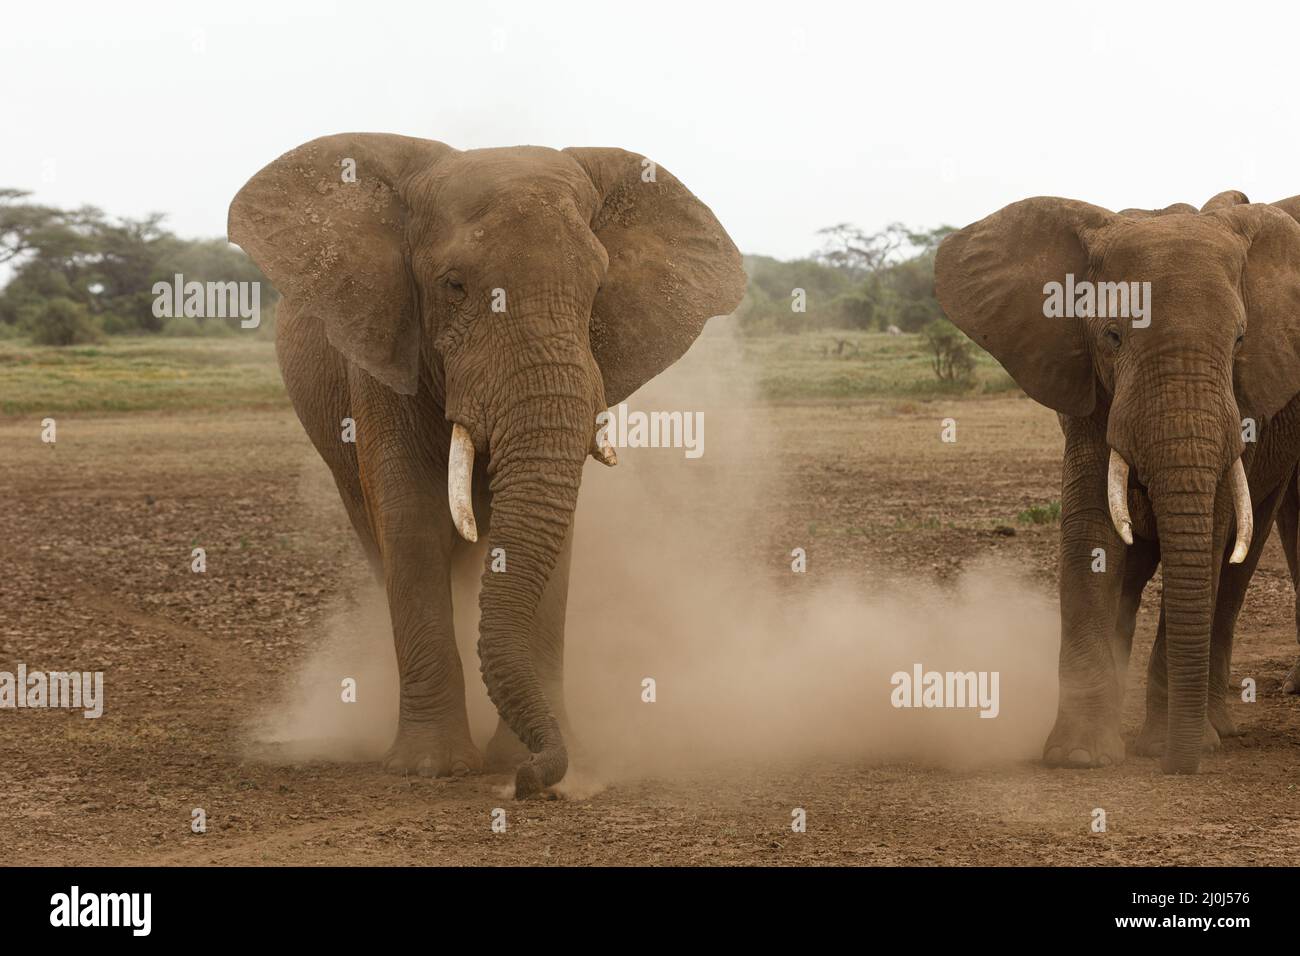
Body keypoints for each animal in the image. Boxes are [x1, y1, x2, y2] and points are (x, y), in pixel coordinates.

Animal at [228, 134, 745, 797]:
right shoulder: (384, 344)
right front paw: (431, 768)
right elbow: (412, 519)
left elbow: (549, 528)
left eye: (599, 288)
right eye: (453, 286)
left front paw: (527, 758)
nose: (527, 783)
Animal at [934, 189, 1300, 773]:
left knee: (1237, 562)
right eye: (1112, 336)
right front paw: (1081, 756)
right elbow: (1091, 531)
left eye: (1240, 340)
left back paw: (1215, 729)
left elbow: (1212, 533)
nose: (1179, 767)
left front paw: (1166, 745)